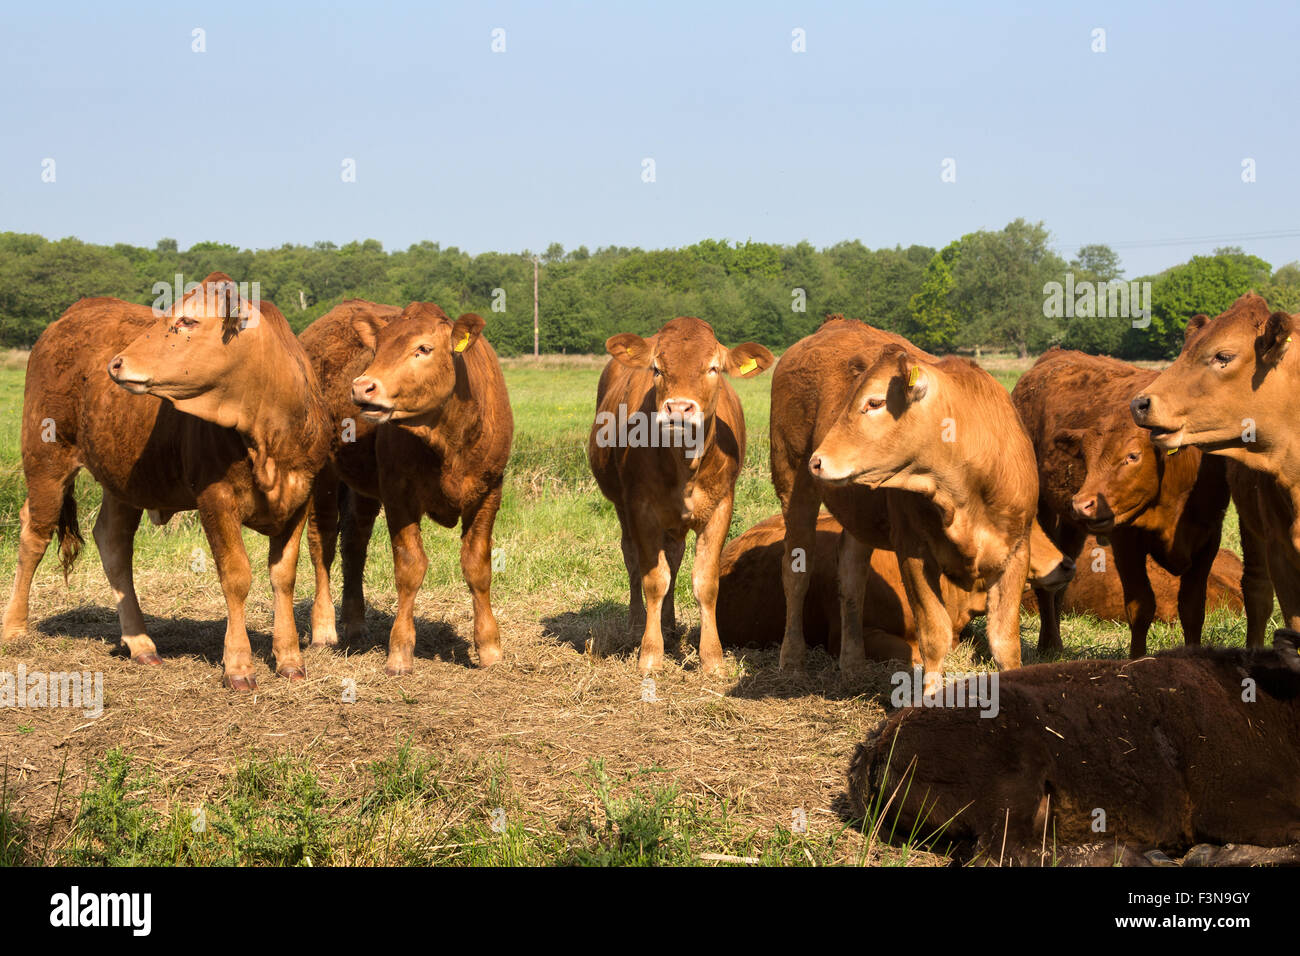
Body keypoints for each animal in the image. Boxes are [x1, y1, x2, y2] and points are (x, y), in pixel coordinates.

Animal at [1, 274, 332, 689]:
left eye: (188, 321)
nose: (116, 363)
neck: (267, 434)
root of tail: (77, 312)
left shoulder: (300, 496)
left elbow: (283, 577)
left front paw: (289, 658)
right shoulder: (215, 497)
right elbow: (236, 576)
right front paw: (238, 665)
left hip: (122, 478)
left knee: (112, 541)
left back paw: (140, 643)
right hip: (46, 457)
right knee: (35, 533)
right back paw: (14, 628)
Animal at [298, 300, 513, 675]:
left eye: (423, 348)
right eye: (378, 348)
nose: (361, 386)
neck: (448, 438)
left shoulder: (489, 493)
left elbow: (478, 567)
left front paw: (489, 647)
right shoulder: (399, 494)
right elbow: (410, 568)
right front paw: (400, 651)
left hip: (363, 488)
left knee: (354, 543)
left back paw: (355, 623)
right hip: (323, 473)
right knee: (321, 542)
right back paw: (324, 628)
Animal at [587, 317, 774, 675]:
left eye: (714, 368)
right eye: (657, 369)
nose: (679, 408)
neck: (684, 462)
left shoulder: (721, 507)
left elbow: (705, 582)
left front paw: (712, 658)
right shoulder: (640, 509)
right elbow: (653, 579)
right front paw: (650, 653)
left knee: (674, 557)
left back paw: (670, 623)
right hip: (622, 507)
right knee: (632, 558)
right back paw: (637, 624)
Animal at [771, 318, 1039, 694]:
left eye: (874, 402)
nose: (818, 461)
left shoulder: (1016, 549)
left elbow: (1005, 642)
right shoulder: (914, 551)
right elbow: (934, 634)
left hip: (858, 515)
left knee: (851, 579)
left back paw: (853, 665)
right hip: (793, 485)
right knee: (796, 573)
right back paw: (793, 662)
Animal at [847, 629, 1300, 867]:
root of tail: (878, 738)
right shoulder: (1234, 808)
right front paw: (1209, 854)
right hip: (1010, 786)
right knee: (1005, 854)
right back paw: (1139, 856)